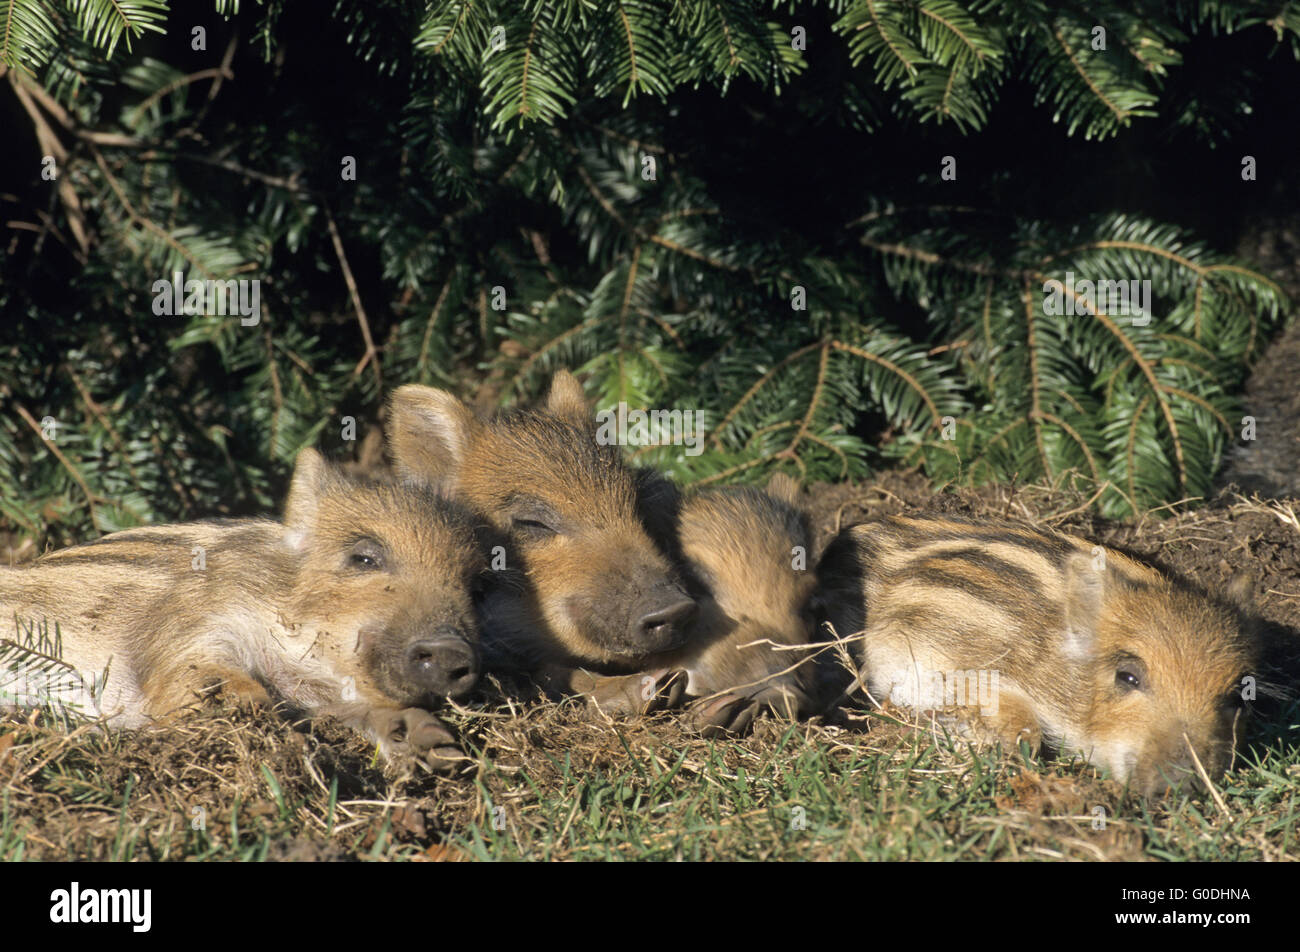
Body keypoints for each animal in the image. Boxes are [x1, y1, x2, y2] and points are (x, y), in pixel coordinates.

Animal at [0, 448, 485, 772]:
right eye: (364, 558)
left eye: (473, 583)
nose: (450, 648)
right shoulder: (189, 629)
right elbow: (201, 677)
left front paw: (437, 747)